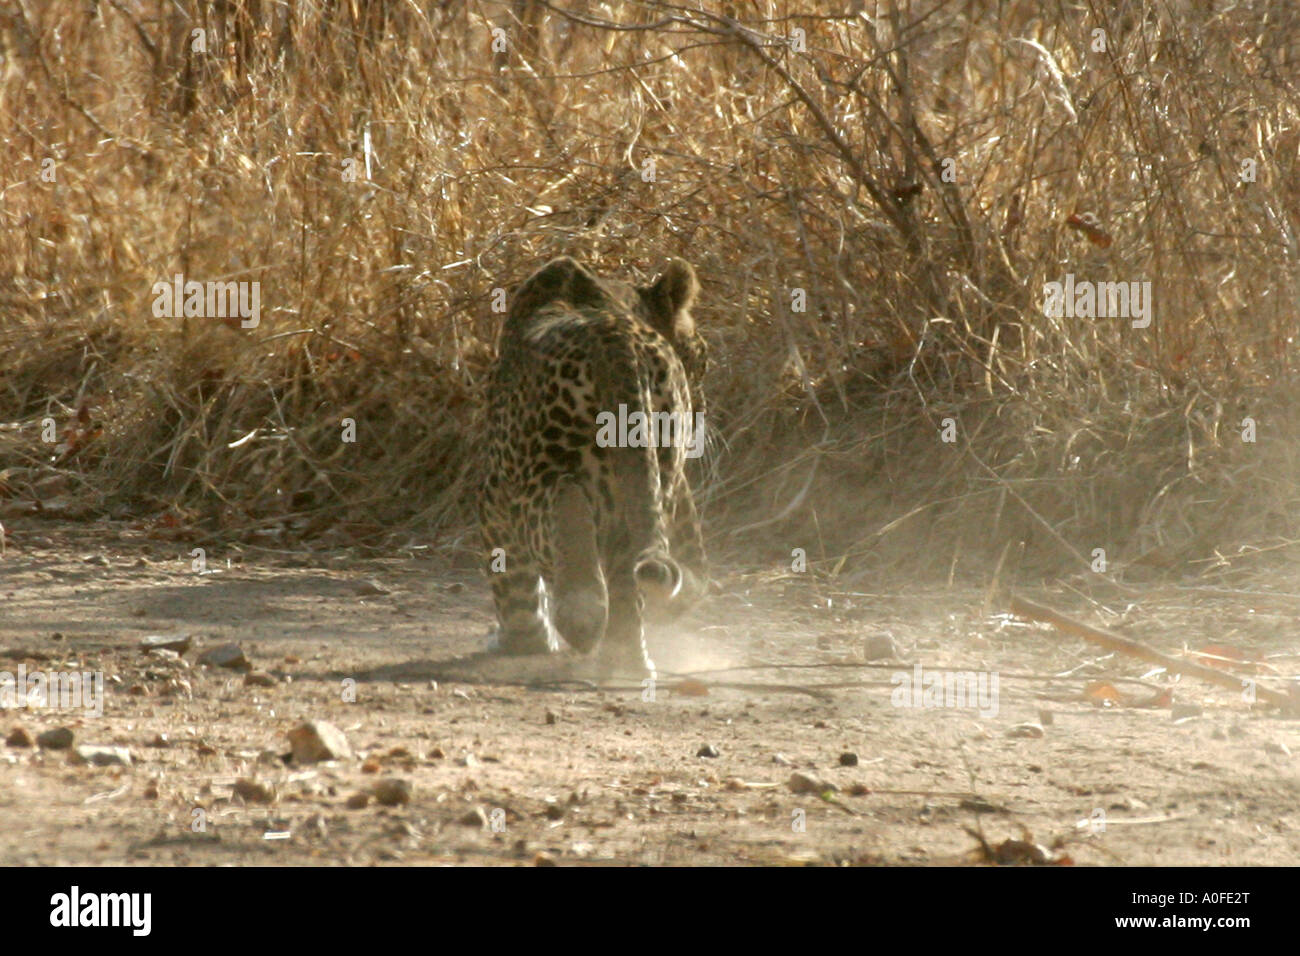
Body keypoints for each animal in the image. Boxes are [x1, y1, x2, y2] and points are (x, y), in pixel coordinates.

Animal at [479, 256, 709, 679]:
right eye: (701, 355)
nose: (702, 409)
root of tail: (613, 338)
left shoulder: (493, 491)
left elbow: (513, 582)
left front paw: (522, 640)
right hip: (648, 472)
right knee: (627, 571)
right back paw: (626, 662)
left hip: (535, 477)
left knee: (565, 513)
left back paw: (581, 619)